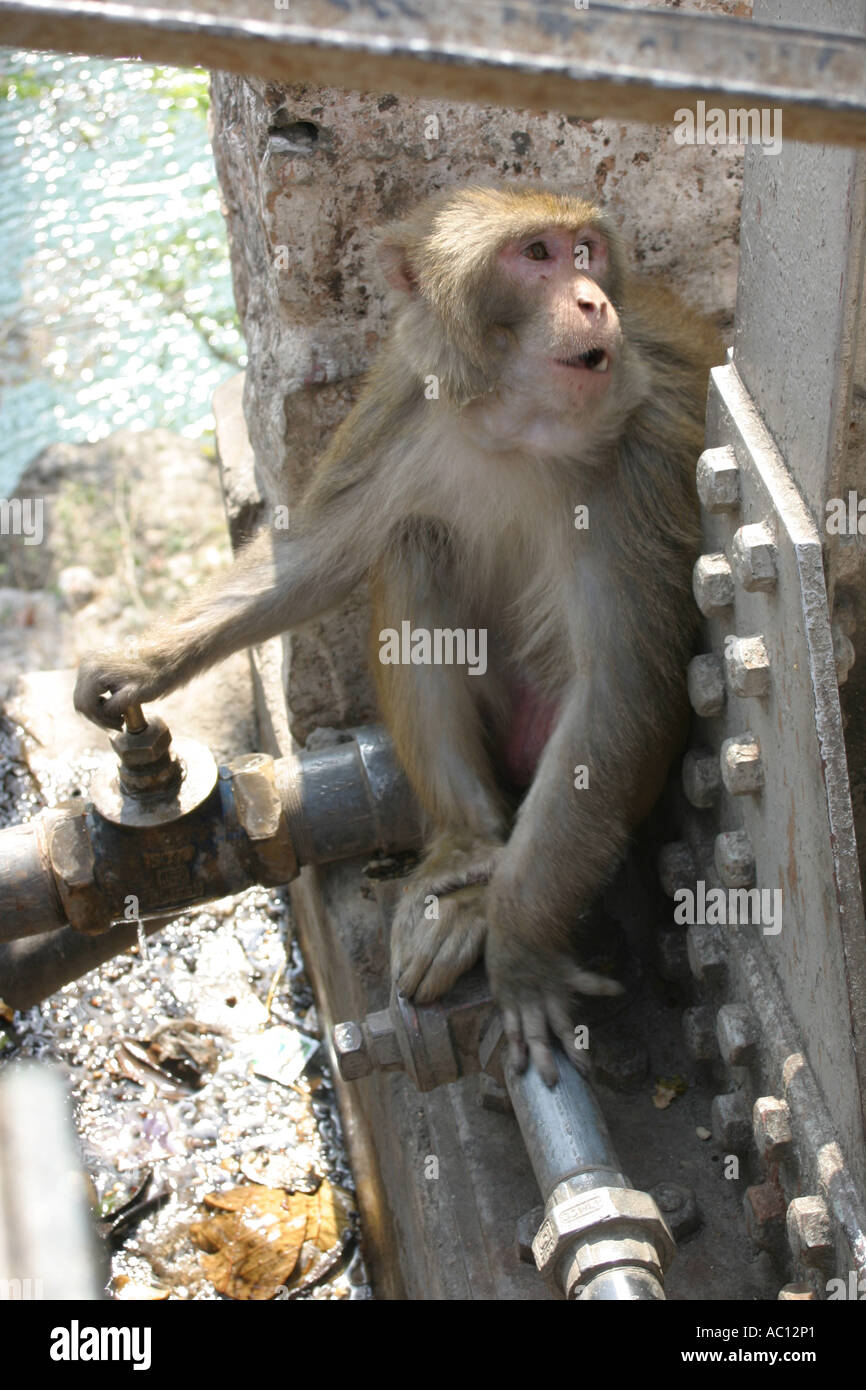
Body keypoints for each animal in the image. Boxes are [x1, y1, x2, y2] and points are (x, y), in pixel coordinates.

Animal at [74, 184, 723, 1086]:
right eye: (538, 255)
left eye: (587, 252)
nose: (594, 301)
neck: (521, 426)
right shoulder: (404, 396)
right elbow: (311, 556)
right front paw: (138, 664)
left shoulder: (642, 457)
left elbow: (620, 696)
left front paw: (521, 955)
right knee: (416, 541)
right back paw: (466, 852)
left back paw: (486, 903)